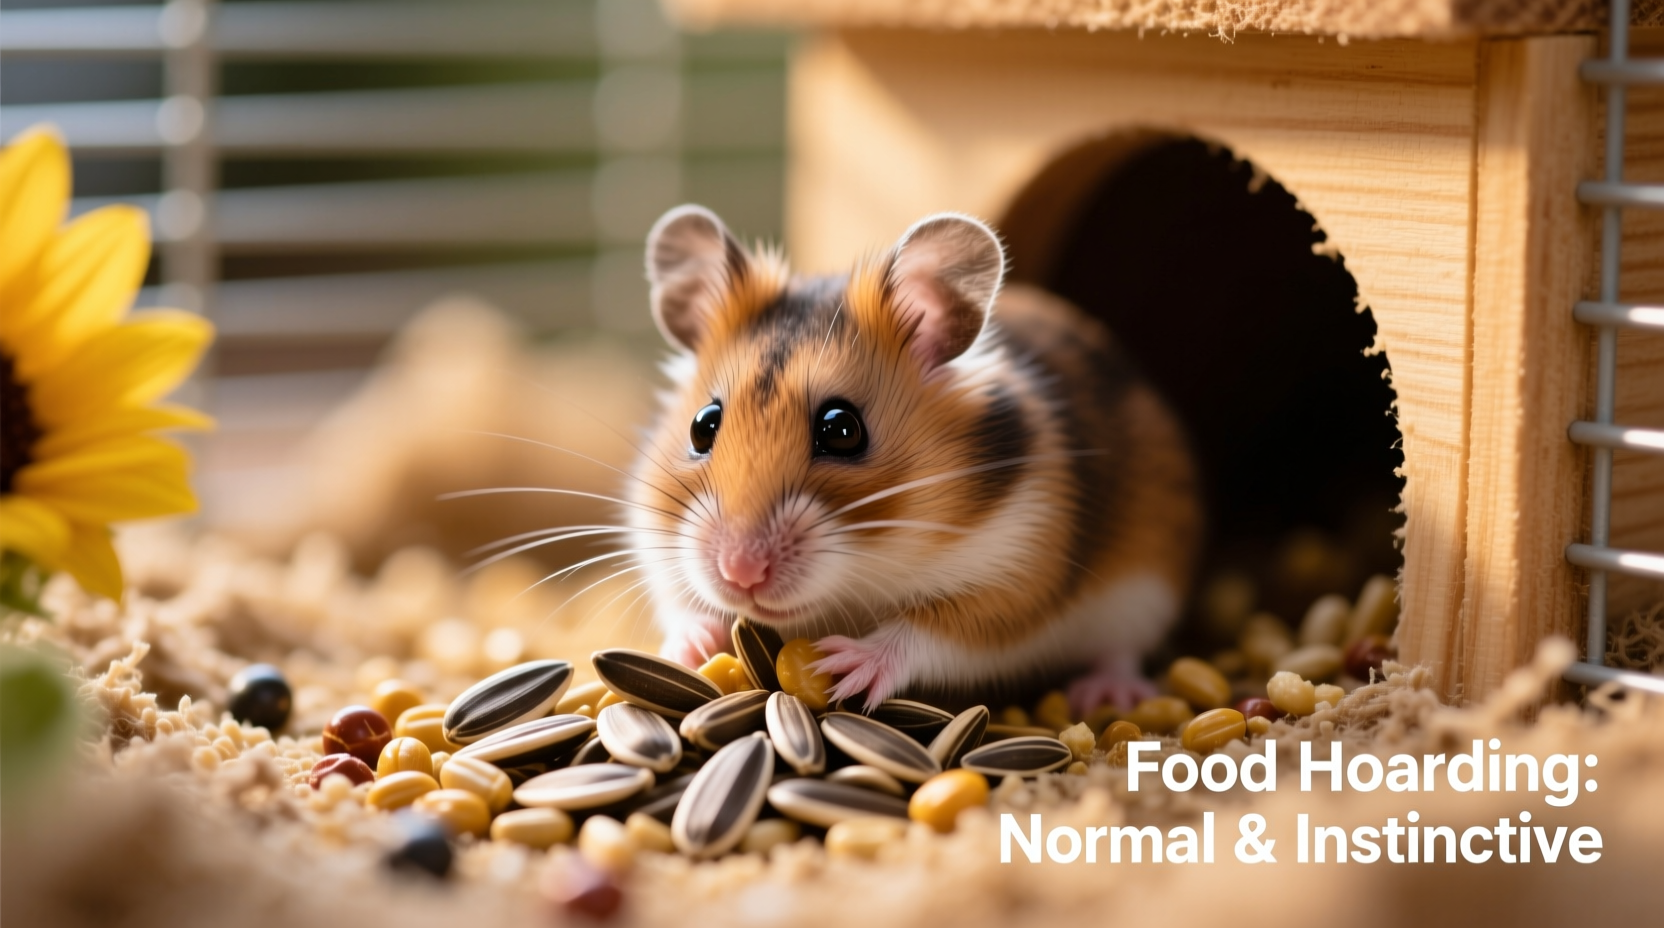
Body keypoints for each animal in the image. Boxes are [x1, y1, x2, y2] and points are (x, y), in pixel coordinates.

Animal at [626, 204, 1201, 713]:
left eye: (842, 430)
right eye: (703, 426)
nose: (740, 573)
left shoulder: (1021, 568)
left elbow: (935, 632)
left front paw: (842, 666)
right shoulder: (658, 546)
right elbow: (678, 602)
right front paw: (693, 646)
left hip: (1142, 588)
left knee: (1121, 650)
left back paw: (1105, 695)